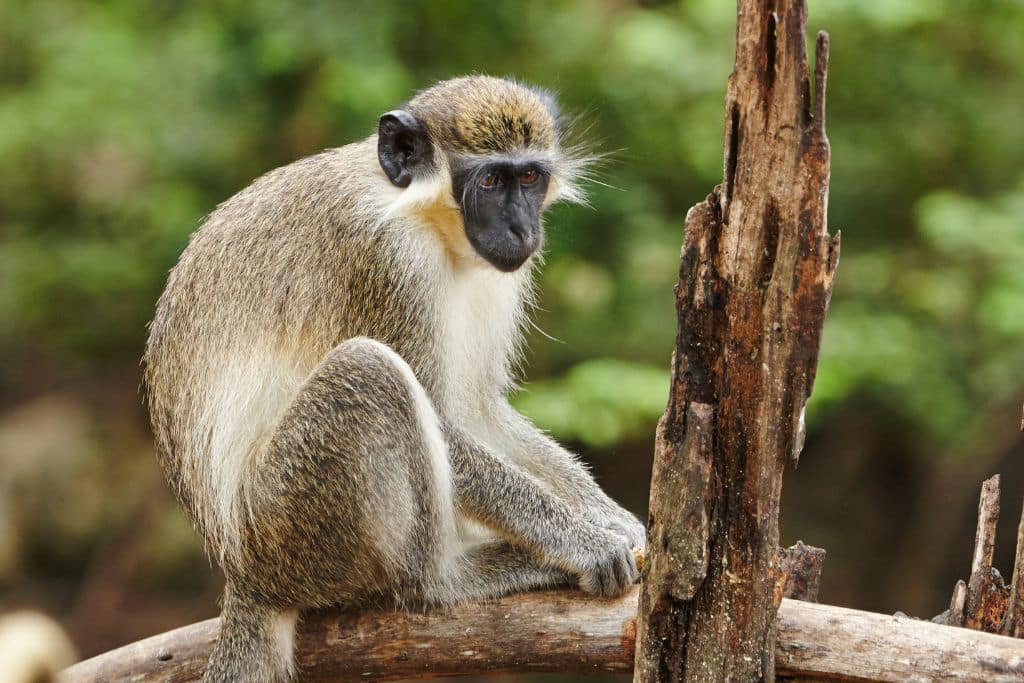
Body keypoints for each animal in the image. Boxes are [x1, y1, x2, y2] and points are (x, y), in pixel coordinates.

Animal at [143, 75, 645, 682]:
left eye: (529, 177)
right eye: (491, 181)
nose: (523, 229)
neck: (420, 212)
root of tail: (248, 574)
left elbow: (475, 408)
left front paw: (613, 518)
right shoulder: (388, 259)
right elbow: (444, 420)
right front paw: (584, 542)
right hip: (289, 523)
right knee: (369, 371)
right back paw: (449, 579)